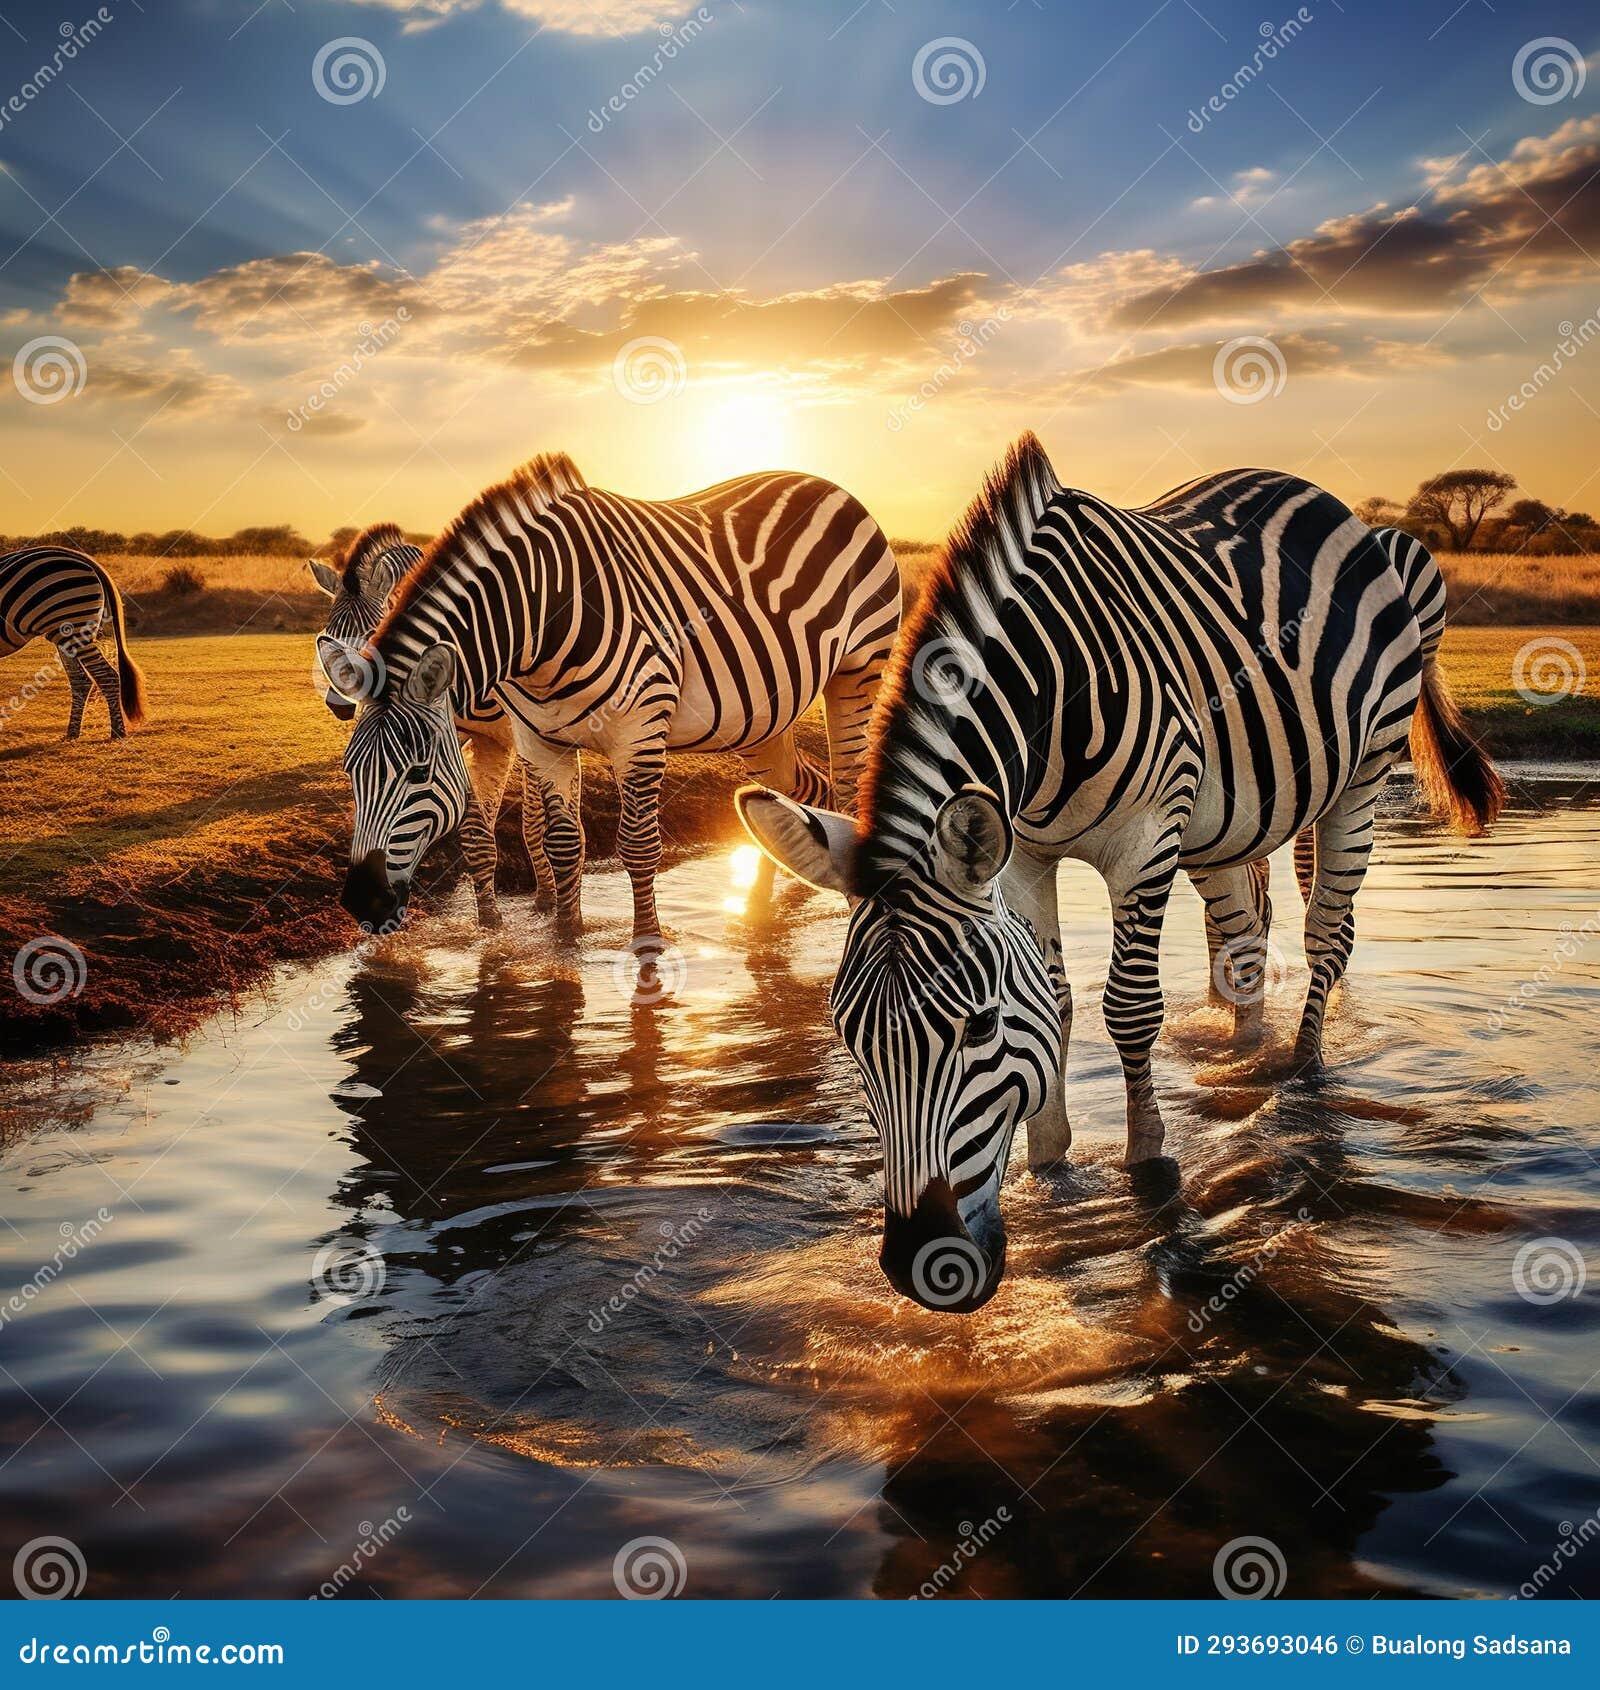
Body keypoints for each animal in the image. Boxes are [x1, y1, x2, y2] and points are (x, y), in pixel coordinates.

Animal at [0, 546, 146, 739]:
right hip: (64, 634)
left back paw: (118, 731)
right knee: (81, 681)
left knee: (107, 676)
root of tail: (78, 555)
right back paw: (72, 733)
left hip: (74, 624)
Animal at [310, 522, 557, 930]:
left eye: (373, 636)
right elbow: (472, 830)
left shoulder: (509, 737)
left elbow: (533, 819)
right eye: (329, 631)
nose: (339, 704)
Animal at [736, 434, 1501, 1312]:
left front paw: (1146, 1158)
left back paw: (1302, 1075)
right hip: (1230, 819)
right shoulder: (1025, 852)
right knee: (1244, 942)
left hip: (1361, 775)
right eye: (847, 1036)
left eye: (979, 1027)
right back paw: (1242, 1057)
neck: (1050, 686)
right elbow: (1057, 995)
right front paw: (1051, 1158)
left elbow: (1128, 1008)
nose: (923, 1267)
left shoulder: (1144, 839)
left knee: (1326, 937)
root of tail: (1327, 500)